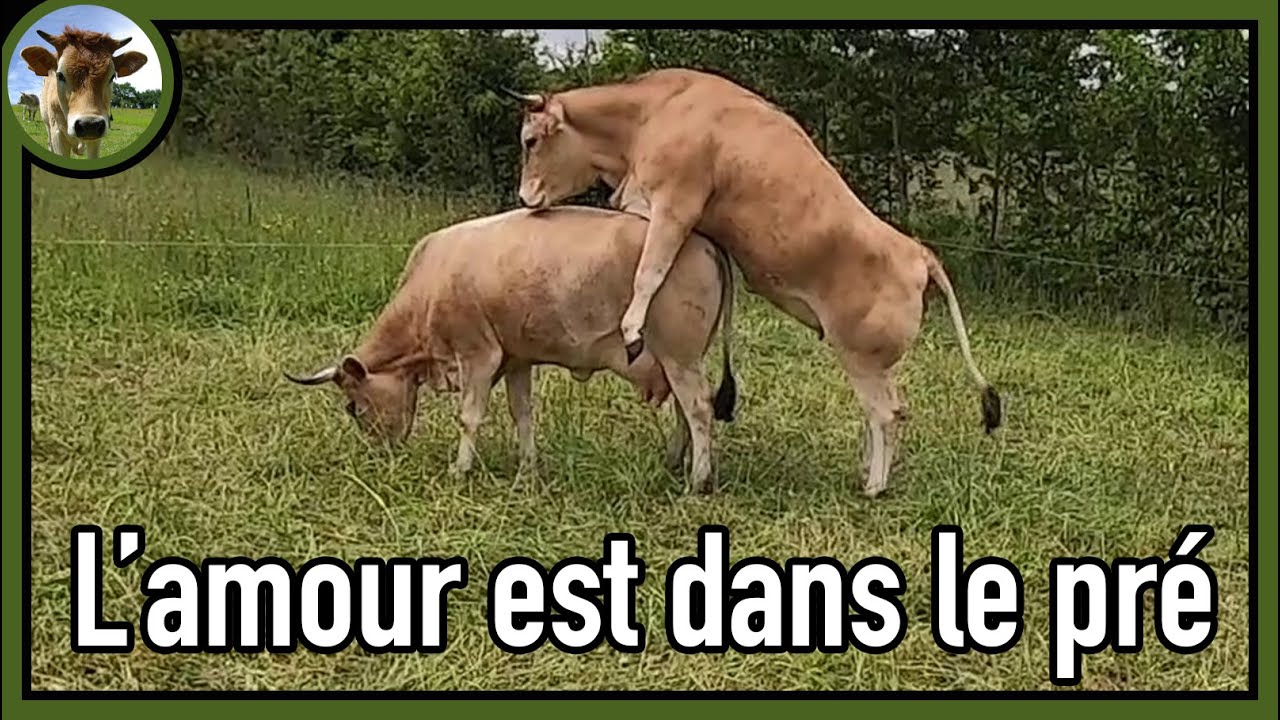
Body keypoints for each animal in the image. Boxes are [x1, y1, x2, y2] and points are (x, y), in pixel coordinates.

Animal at [19, 27, 148, 159]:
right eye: (60, 75)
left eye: (112, 76)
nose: (89, 124)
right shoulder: (57, 134)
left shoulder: (96, 140)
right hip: (47, 125)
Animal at [285, 206, 737, 494]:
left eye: (353, 406)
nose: (381, 453)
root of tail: (705, 243)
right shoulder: (517, 359)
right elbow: (523, 415)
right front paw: (527, 469)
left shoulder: (478, 355)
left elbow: (469, 417)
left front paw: (460, 469)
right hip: (677, 361)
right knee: (684, 411)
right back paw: (673, 462)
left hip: (679, 357)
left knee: (698, 408)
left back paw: (698, 480)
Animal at [499, 68, 1001, 497]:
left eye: (530, 140)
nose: (525, 197)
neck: (652, 110)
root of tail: (917, 253)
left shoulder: (672, 207)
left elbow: (649, 271)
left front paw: (632, 329)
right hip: (869, 364)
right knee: (876, 417)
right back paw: (868, 472)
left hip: (861, 358)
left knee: (887, 414)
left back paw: (874, 486)